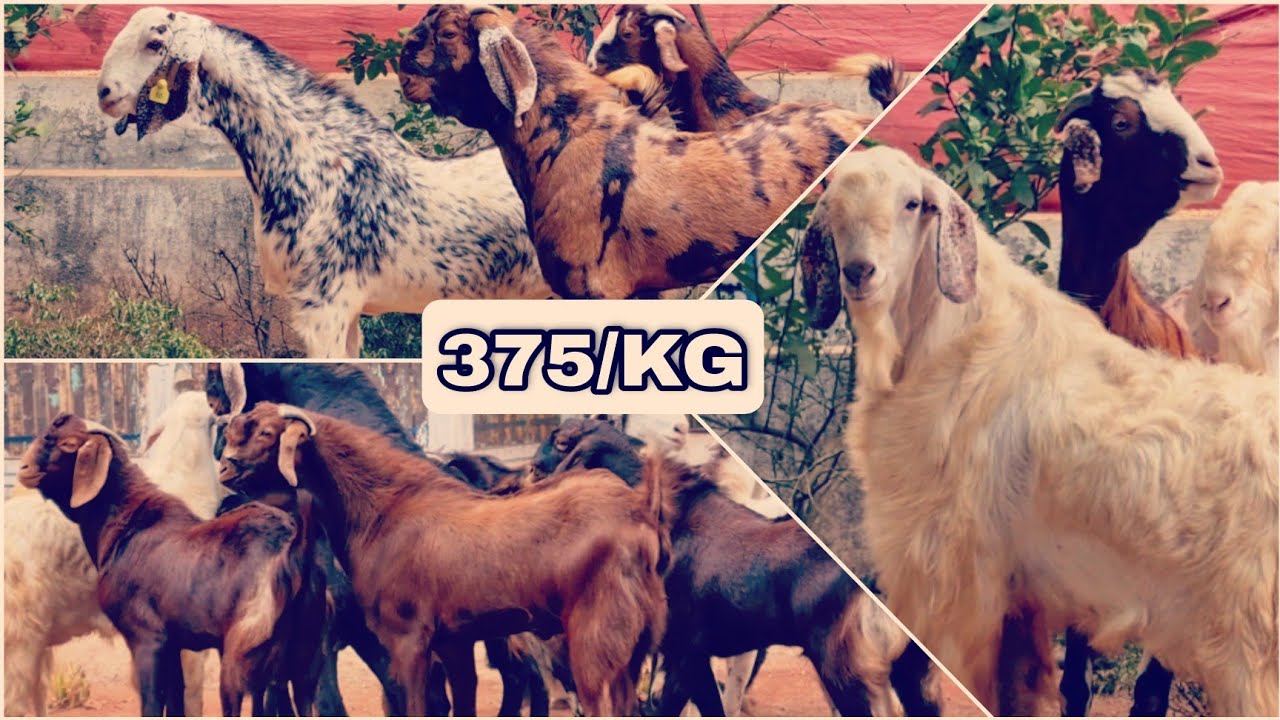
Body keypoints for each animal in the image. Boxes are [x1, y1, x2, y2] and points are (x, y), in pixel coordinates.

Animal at [15, 413, 324, 716]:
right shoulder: (175, 643)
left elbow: (152, 703)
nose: (24, 468)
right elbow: (176, 701)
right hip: (303, 668)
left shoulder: (147, 638)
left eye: (67, 444)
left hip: (240, 660)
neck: (128, 522)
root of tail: (293, 553)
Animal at [217, 402, 668, 716]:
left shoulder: (408, 641)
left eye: (266, 432)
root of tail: (639, 509)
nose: (224, 468)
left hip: (596, 643)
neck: (384, 511)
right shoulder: (455, 641)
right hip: (633, 649)